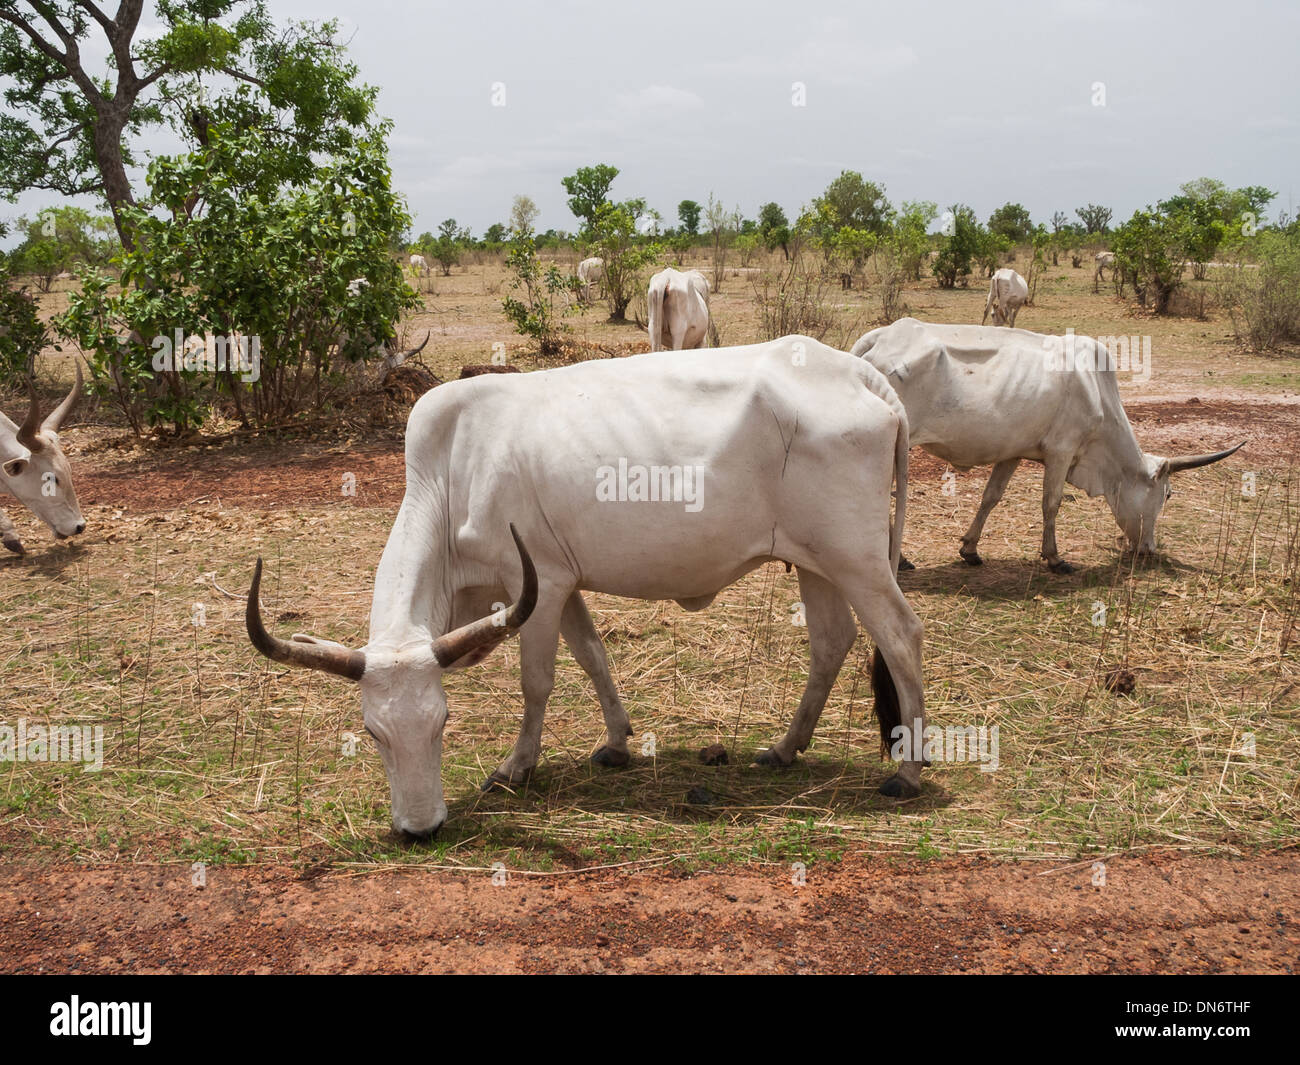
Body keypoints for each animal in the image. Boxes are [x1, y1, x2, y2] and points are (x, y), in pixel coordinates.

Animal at [246, 336, 926, 837]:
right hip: (816, 562)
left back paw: (910, 770)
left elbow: (537, 682)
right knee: (832, 642)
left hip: (858, 559)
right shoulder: (559, 583)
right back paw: (786, 748)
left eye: (443, 722)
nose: (420, 829)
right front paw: (617, 743)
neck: (449, 475)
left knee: (900, 636)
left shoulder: (536, 585)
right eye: (373, 733)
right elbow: (594, 657)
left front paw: (516, 766)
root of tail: (862, 375)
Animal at [850, 318, 1244, 574]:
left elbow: (991, 497)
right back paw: (898, 558)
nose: (1148, 550)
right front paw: (1054, 558)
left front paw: (970, 549)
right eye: (1168, 494)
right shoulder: (1061, 451)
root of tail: (881, 337)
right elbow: (1051, 503)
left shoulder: (1011, 452)